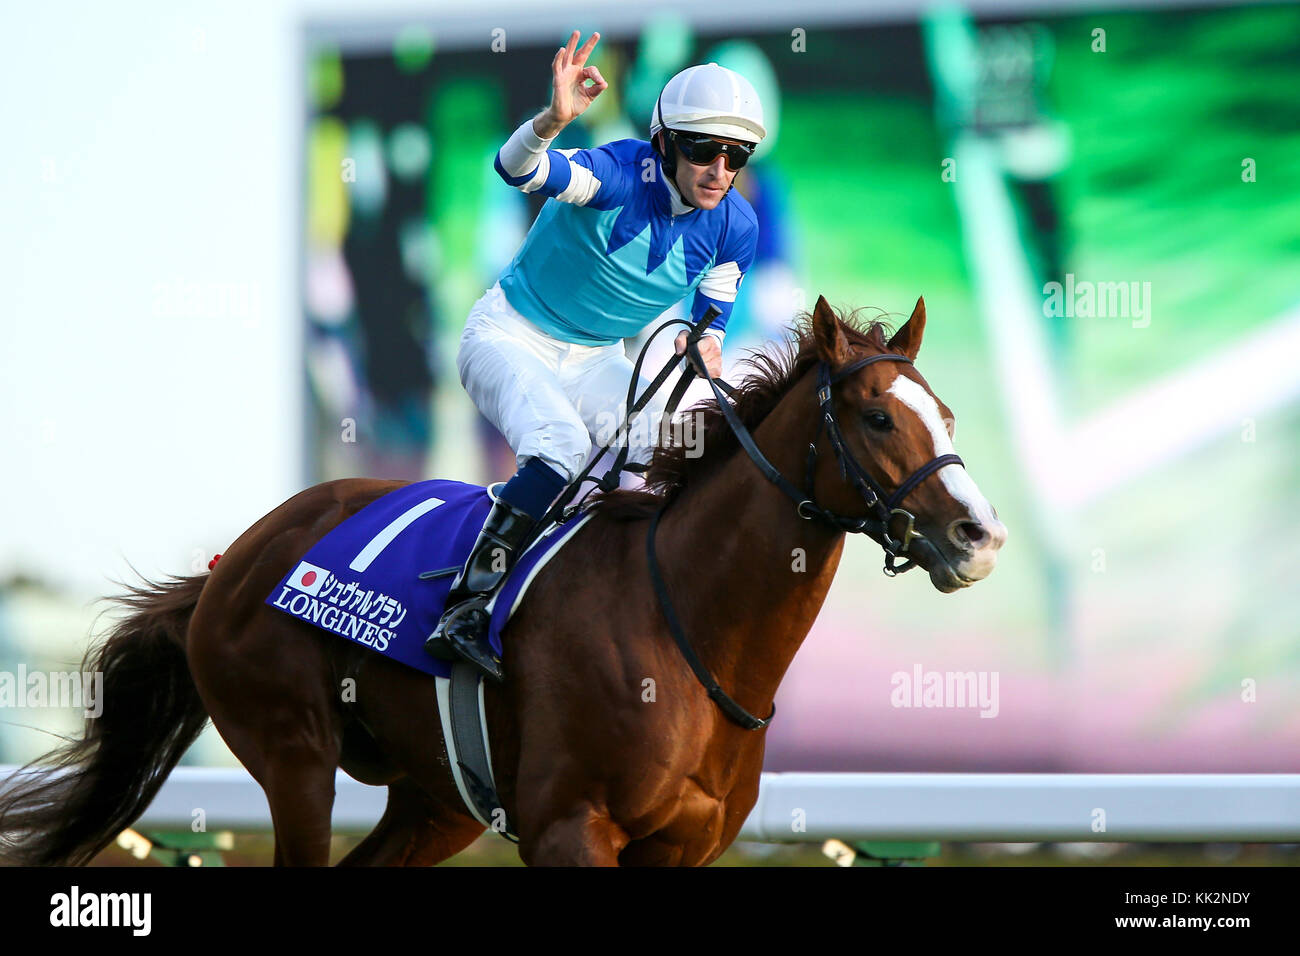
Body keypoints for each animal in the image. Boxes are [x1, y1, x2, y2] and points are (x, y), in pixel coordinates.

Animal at [0, 295, 1006, 866]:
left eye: (947, 413)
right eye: (877, 416)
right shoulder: (571, 828)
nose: (981, 534)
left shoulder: (682, 845)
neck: (687, 631)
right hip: (293, 755)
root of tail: (230, 566)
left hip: (435, 797)